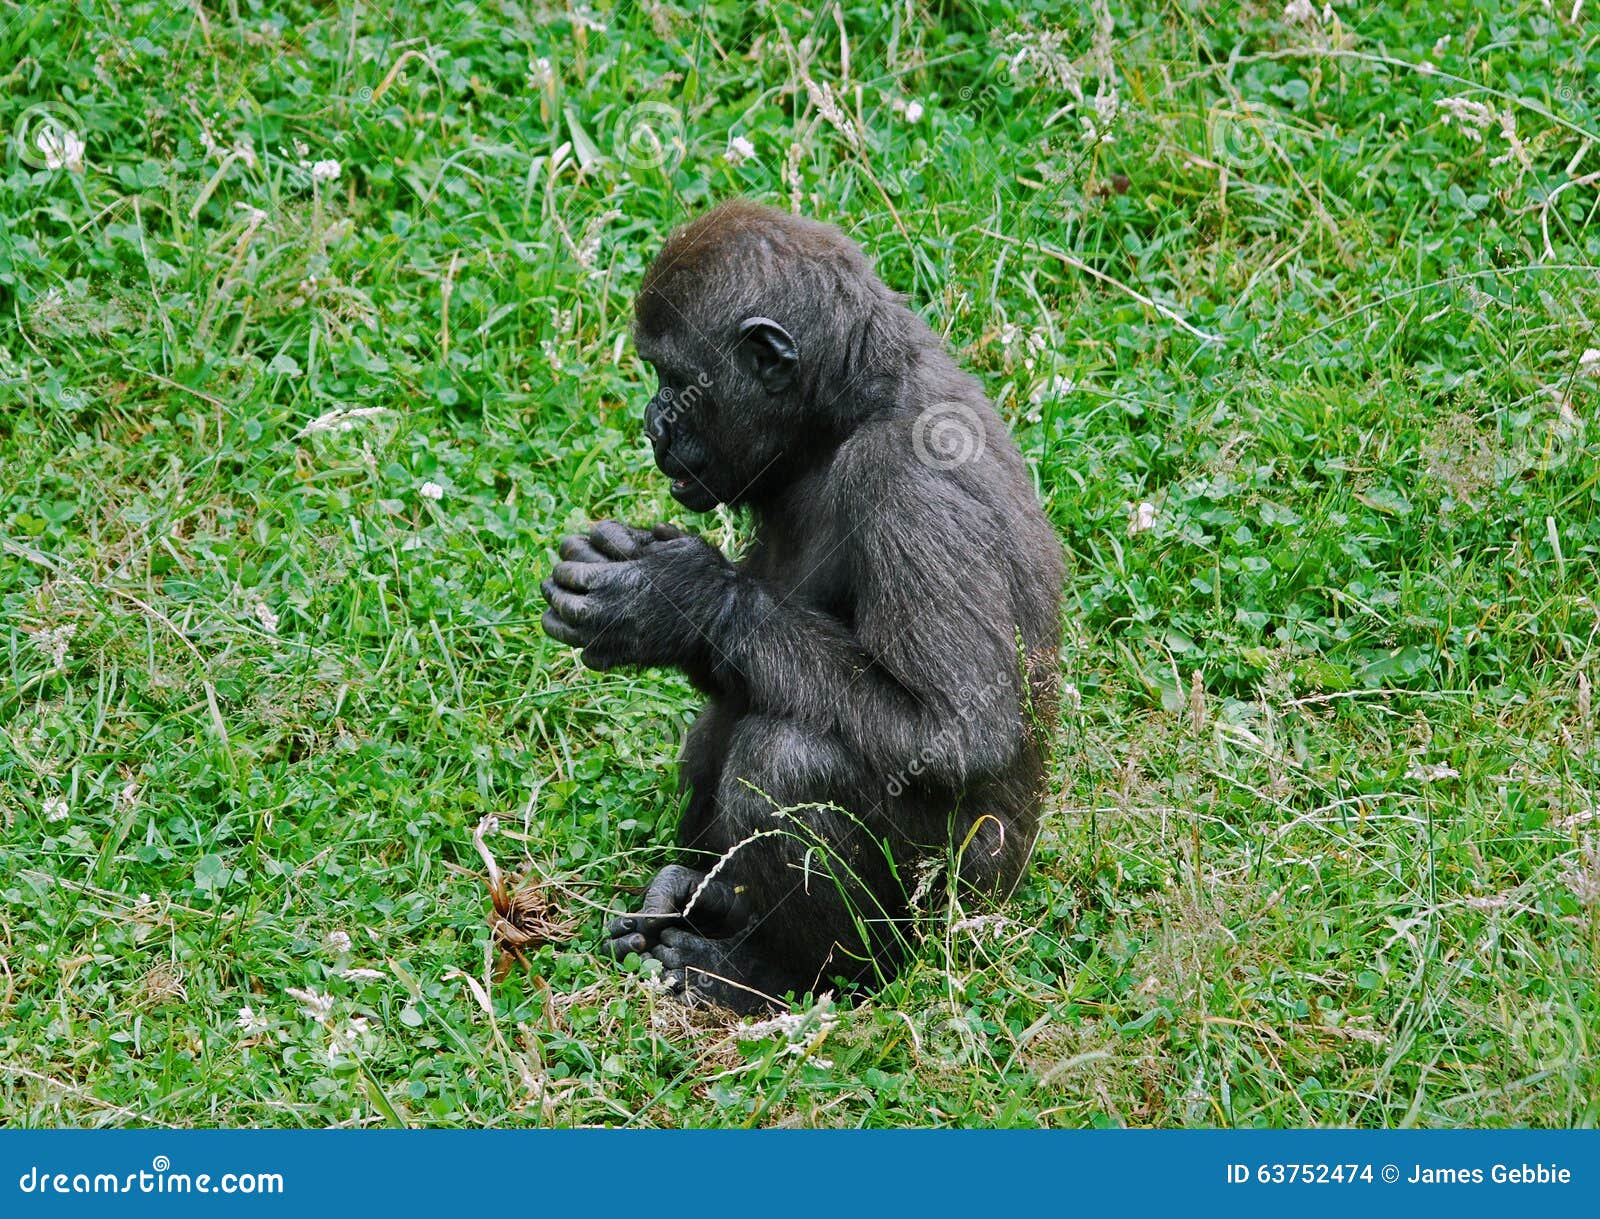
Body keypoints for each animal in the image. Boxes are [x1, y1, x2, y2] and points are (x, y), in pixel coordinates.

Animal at [541, 201, 1064, 1013]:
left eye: (674, 379)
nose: (654, 425)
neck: (851, 406)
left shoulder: (909, 481)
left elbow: (954, 733)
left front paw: (676, 598)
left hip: (957, 910)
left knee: (786, 761)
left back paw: (782, 973)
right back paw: (705, 899)